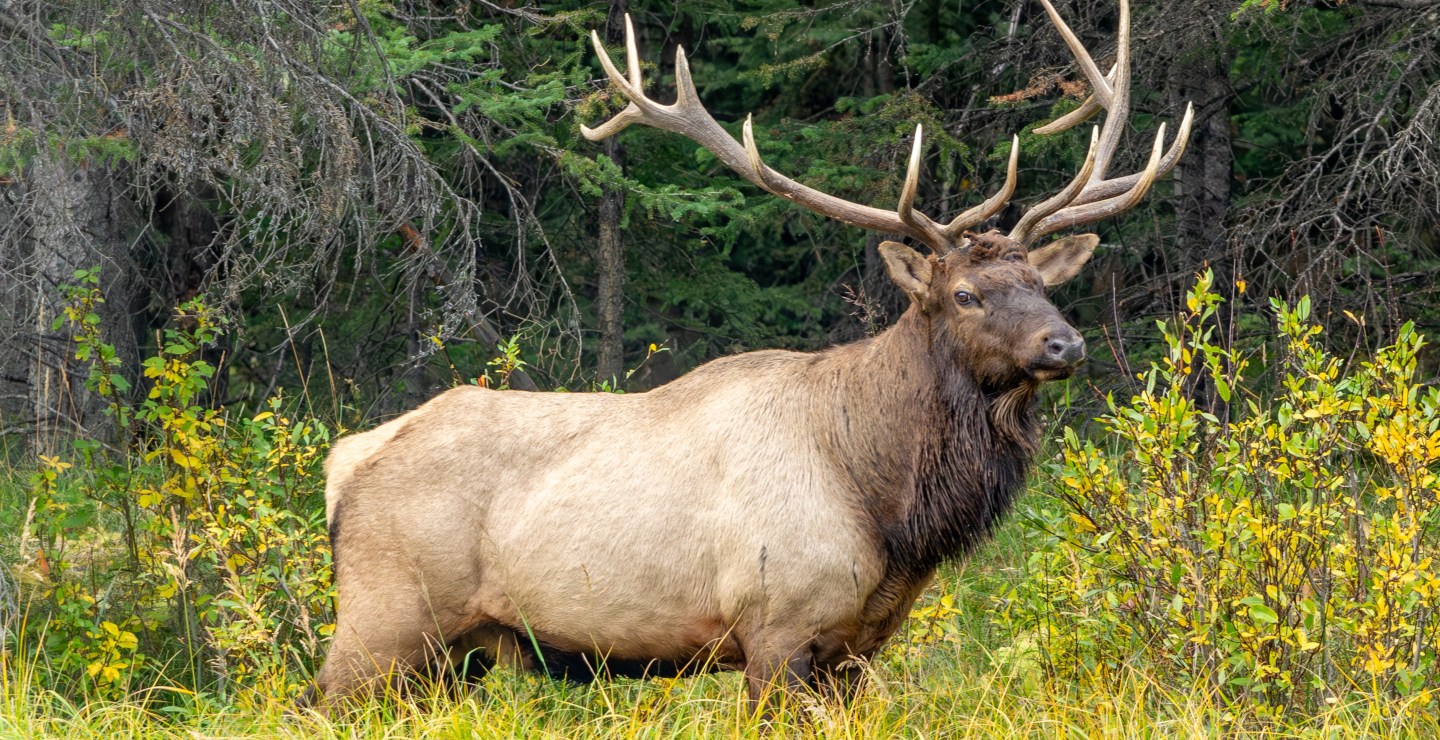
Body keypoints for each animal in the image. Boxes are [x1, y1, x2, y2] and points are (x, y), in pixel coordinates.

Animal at [304, 0, 1192, 716]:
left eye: (1041, 284)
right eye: (966, 294)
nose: (1064, 343)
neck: (887, 507)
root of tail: (344, 463)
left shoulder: (857, 647)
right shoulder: (776, 627)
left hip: (455, 657)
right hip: (383, 620)